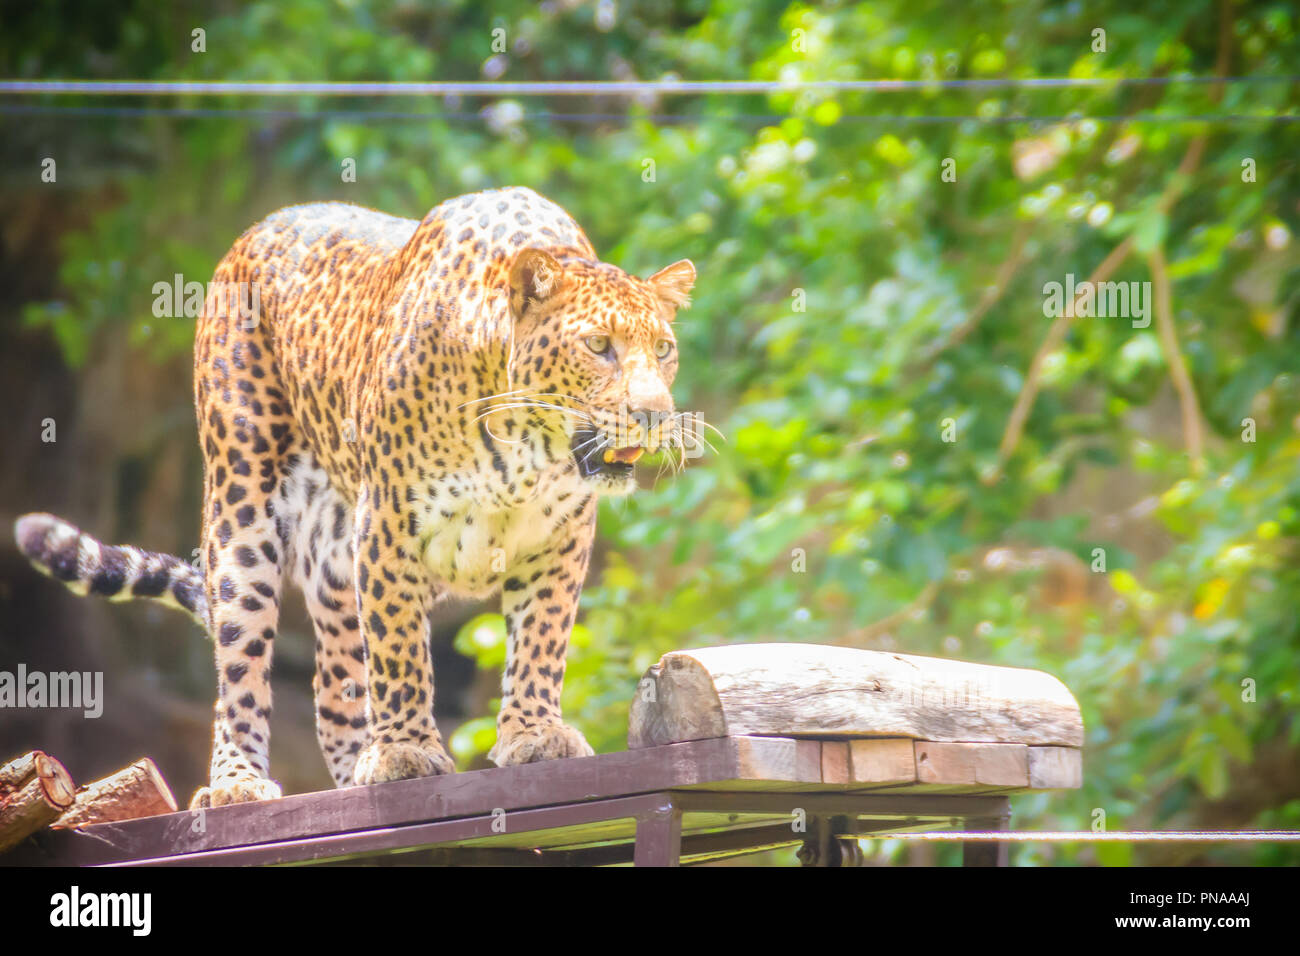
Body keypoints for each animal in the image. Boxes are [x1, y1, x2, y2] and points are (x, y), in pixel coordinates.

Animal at [15, 185, 696, 808]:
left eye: (664, 349)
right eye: (598, 346)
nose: (654, 414)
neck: (523, 447)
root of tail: (258, 228)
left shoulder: (559, 540)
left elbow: (541, 640)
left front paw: (534, 734)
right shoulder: (390, 528)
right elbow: (399, 651)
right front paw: (406, 752)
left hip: (335, 563)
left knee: (331, 689)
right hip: (241, 510)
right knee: (241, 663)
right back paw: (238, 782)